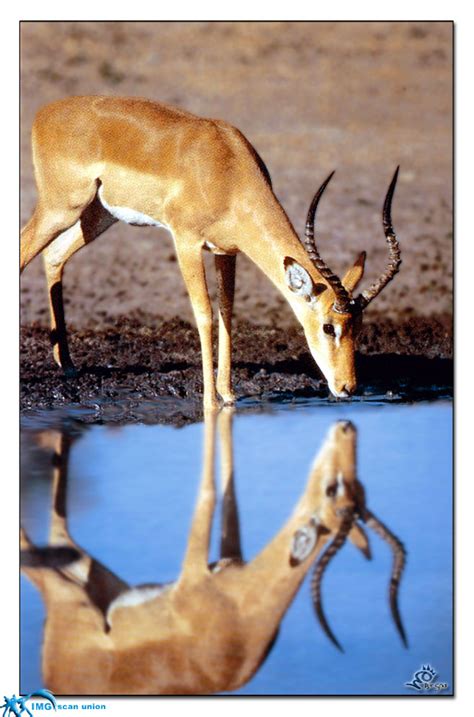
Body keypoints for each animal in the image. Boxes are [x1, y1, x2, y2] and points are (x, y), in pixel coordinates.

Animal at [20, 96, 402, 408]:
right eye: (328, 327)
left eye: (359, 328)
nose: (348, 388)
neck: (227, 169)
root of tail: (45, 113)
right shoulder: (186, 242)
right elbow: (204, 314)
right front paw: (209, 401)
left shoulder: (226, 252)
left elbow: (227, 313)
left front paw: (228, 395)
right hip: (60, 209)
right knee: (23, 251)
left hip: (98, 215)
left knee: (54, 255)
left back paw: (68, 365)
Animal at [21, 414, 407, 695]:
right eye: (332, 490)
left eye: (360, 489)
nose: (346, 425)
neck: (241, 619)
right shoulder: (194, 571)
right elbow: (208, 491)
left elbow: (228, 494)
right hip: (66, 593)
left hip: (86, 574)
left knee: (56, 529)